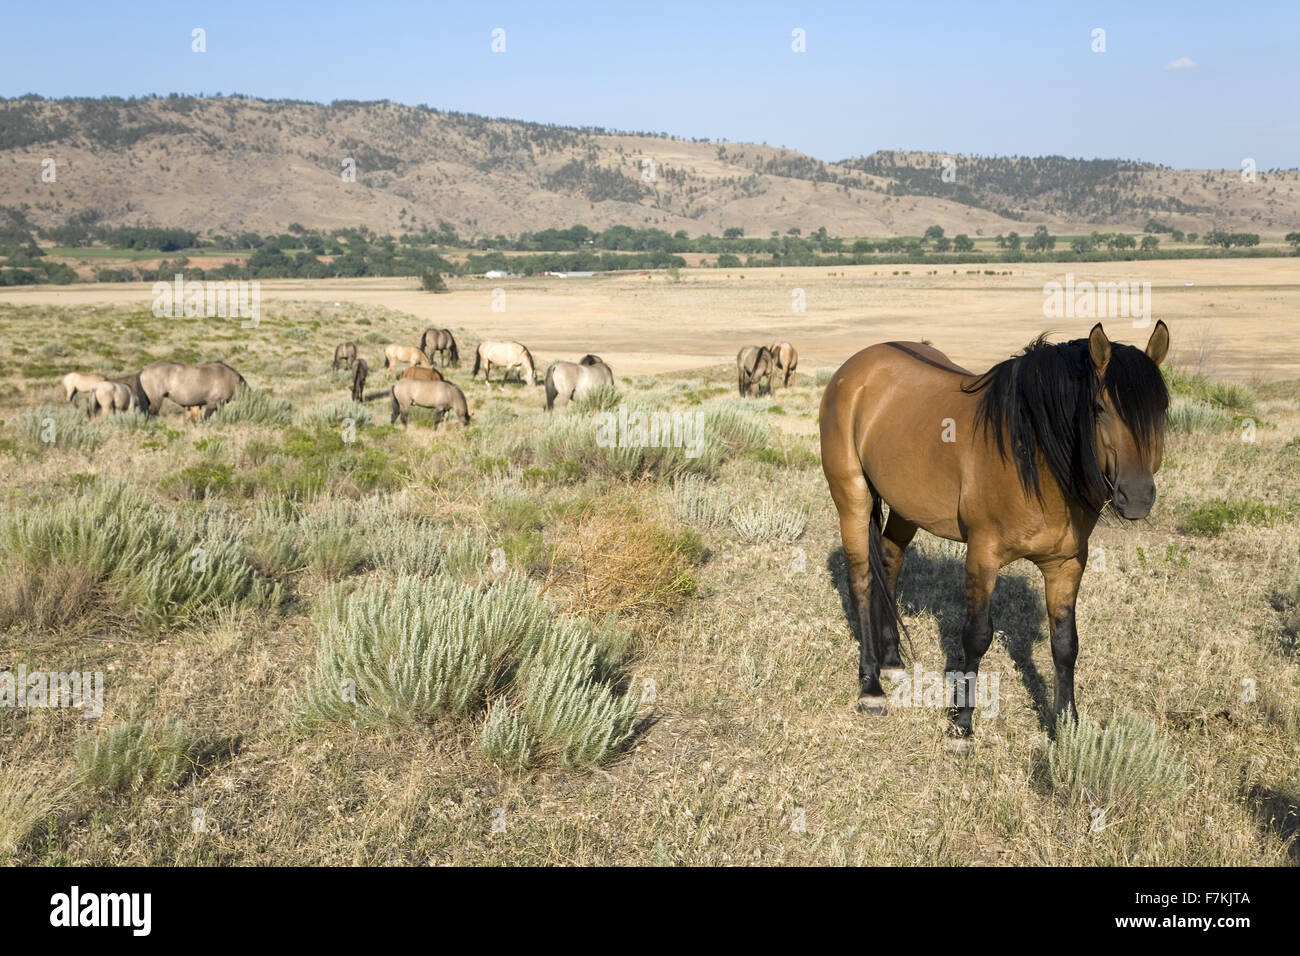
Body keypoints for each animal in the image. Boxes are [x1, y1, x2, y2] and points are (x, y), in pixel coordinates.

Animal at [819, 321, 1170, 752]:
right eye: (1099, 408)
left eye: (1161, 409)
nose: (1136, 497)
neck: (1032, 456)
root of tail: (857, 366)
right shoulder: (982, 556)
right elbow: (976, 636)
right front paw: (962, 725)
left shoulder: (1066, 564)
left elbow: (1065, 643)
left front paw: (1067, 726)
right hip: (852, 497)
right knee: (862, 580)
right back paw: (871, 687)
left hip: (905, 507)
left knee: (889, 561)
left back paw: (892, 662)